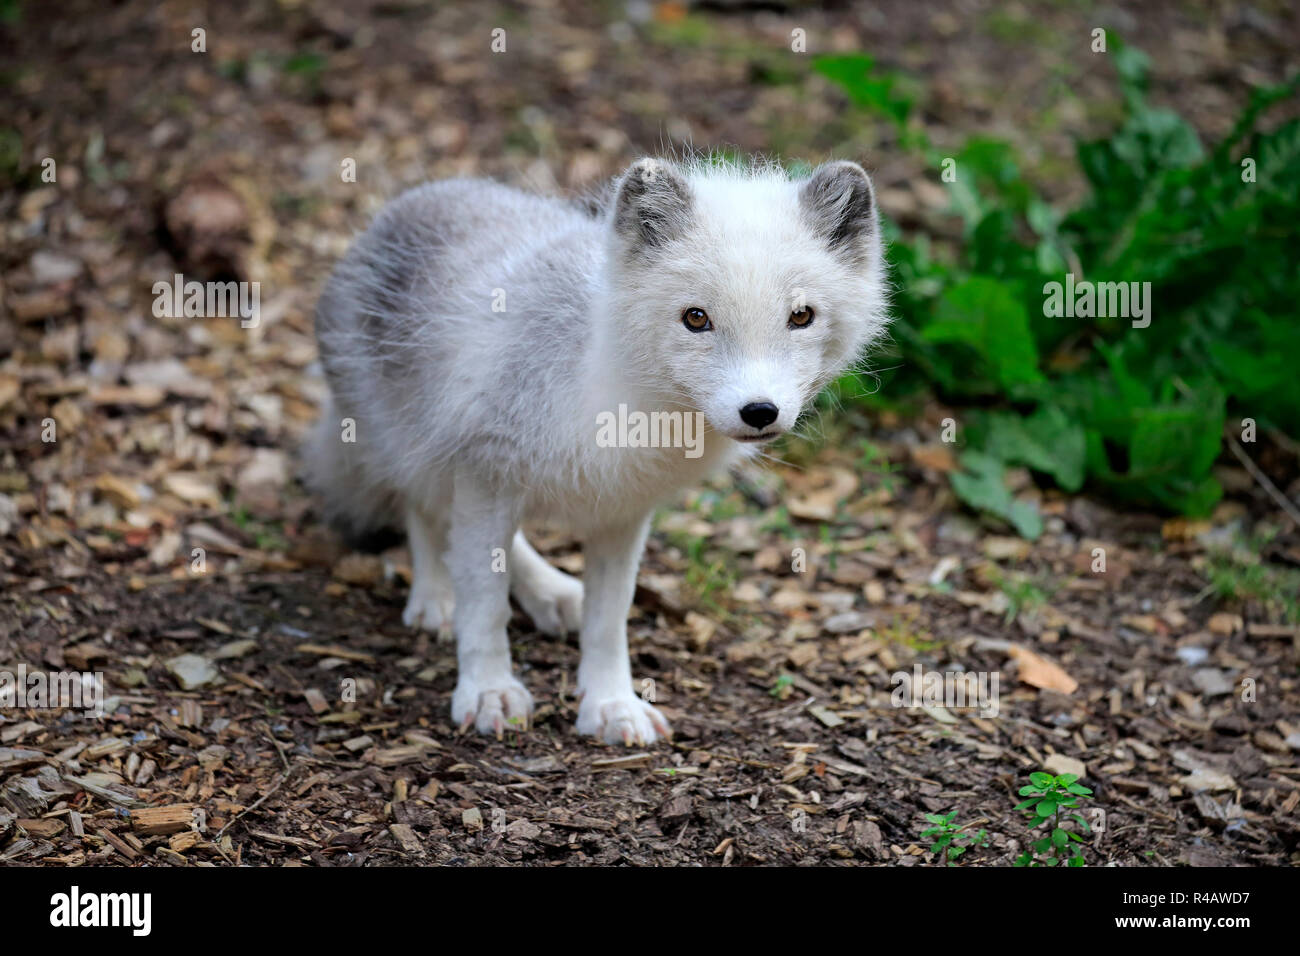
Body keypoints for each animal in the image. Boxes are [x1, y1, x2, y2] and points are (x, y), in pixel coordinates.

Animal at [304, 155, 890, 745]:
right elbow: (484, 603)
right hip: (403, 434)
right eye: (696, 318)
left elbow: (609, 620)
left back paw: (553, 594)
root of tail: (409, 200)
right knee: (423, 509)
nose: (760, 411)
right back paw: (436, 596)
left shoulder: (623, 510)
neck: (615, 394)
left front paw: (611, 704)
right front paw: (488, 689)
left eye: (801, 316)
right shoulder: (484, 475)